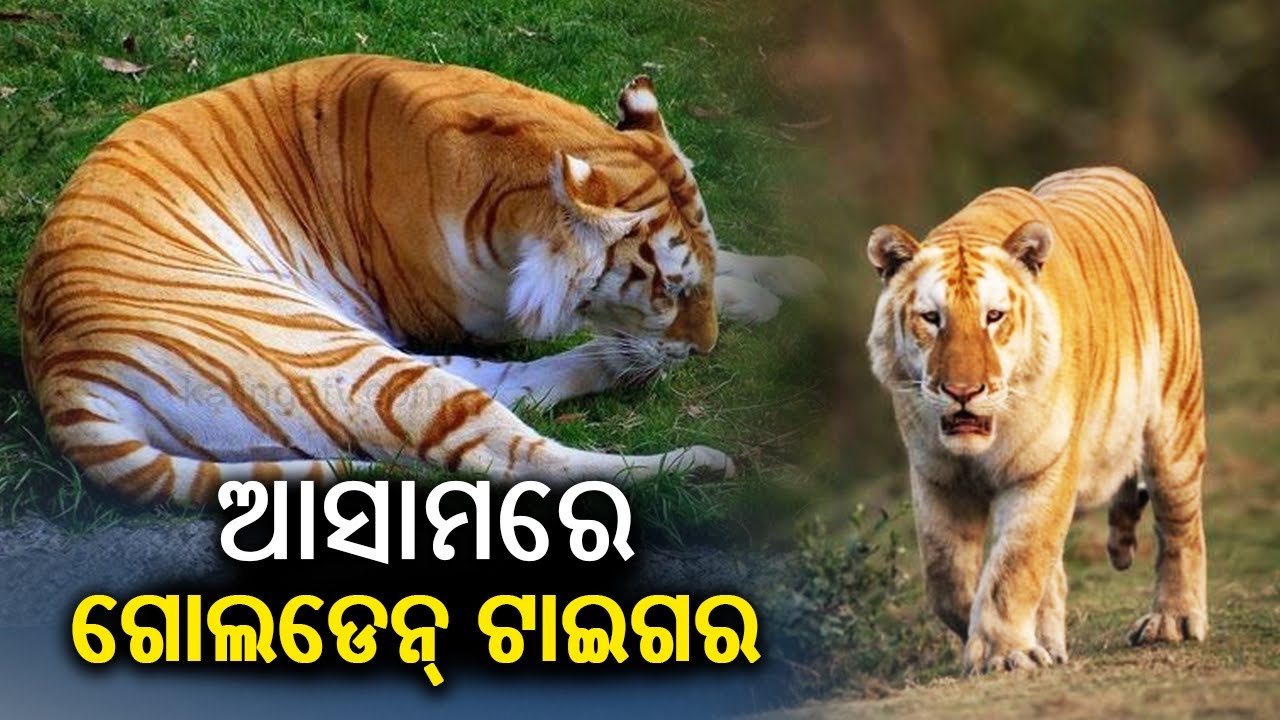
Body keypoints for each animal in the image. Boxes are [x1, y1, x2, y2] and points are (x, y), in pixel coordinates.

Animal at [18, 54, 822, 506]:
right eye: (667, 292)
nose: (705, 350)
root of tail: (60, 381)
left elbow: (731, 251)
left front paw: (792, 272)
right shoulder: (473, 308)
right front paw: (748, 302)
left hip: (351, 357)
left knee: (509, 392)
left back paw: (617, 368)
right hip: (327, 349)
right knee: (513, 457)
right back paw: (697, 465)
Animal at [864, 167, 1207, 674]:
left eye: (993, 317)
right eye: (932, 318)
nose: (963, 392)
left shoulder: (1043, 469)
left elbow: (1014, 568)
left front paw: (1004, 653)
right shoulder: (937, 477)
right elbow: (948, 578)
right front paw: (1014, 644)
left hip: (1174, 430)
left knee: (1180, 525)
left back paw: (1173, 621)